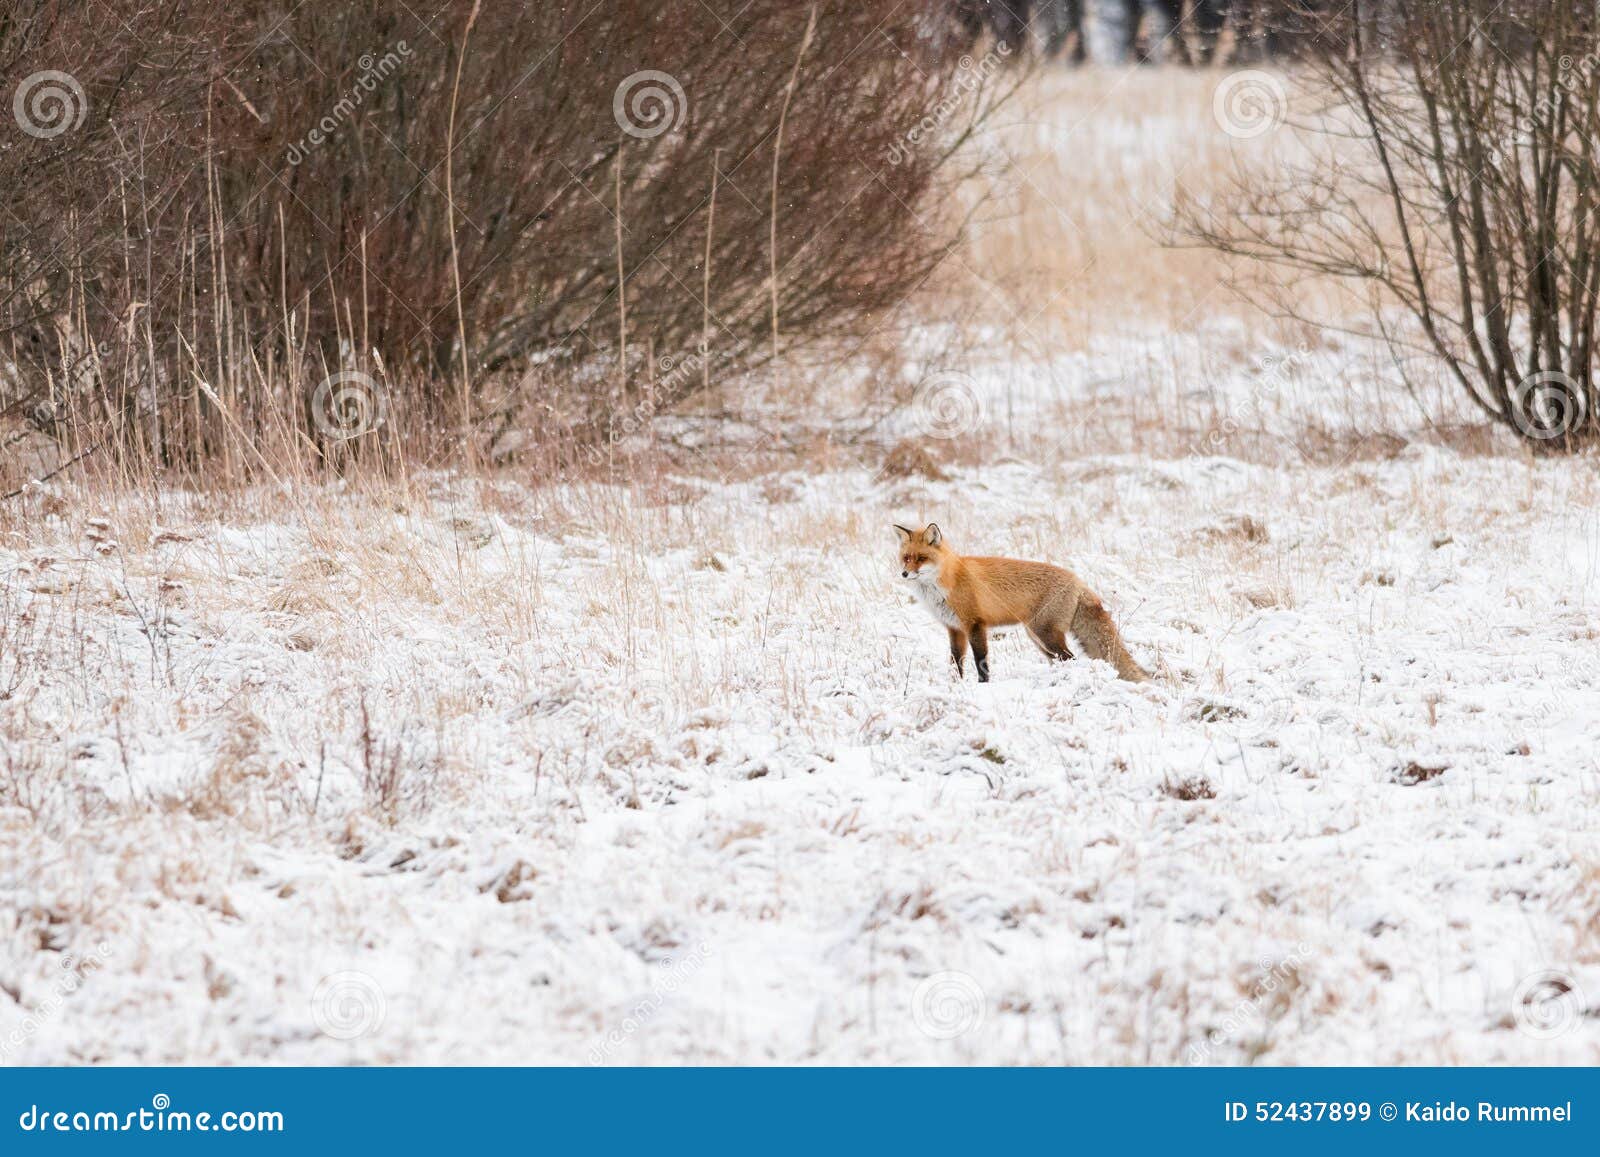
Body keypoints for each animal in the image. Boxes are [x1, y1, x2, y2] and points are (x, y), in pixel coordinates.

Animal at [894, 523, 1149, 683]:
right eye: (906, 558)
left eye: (922, 558)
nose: (904, 574)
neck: (948, 582)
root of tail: (1078, 580)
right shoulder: (954, 628)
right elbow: (956, 663)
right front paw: (955, 686)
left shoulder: (975, 624)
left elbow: (980, 661)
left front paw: (983, 686)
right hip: (1038, 638)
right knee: (1061, 660)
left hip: (1046, 634)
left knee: (1071, 658)